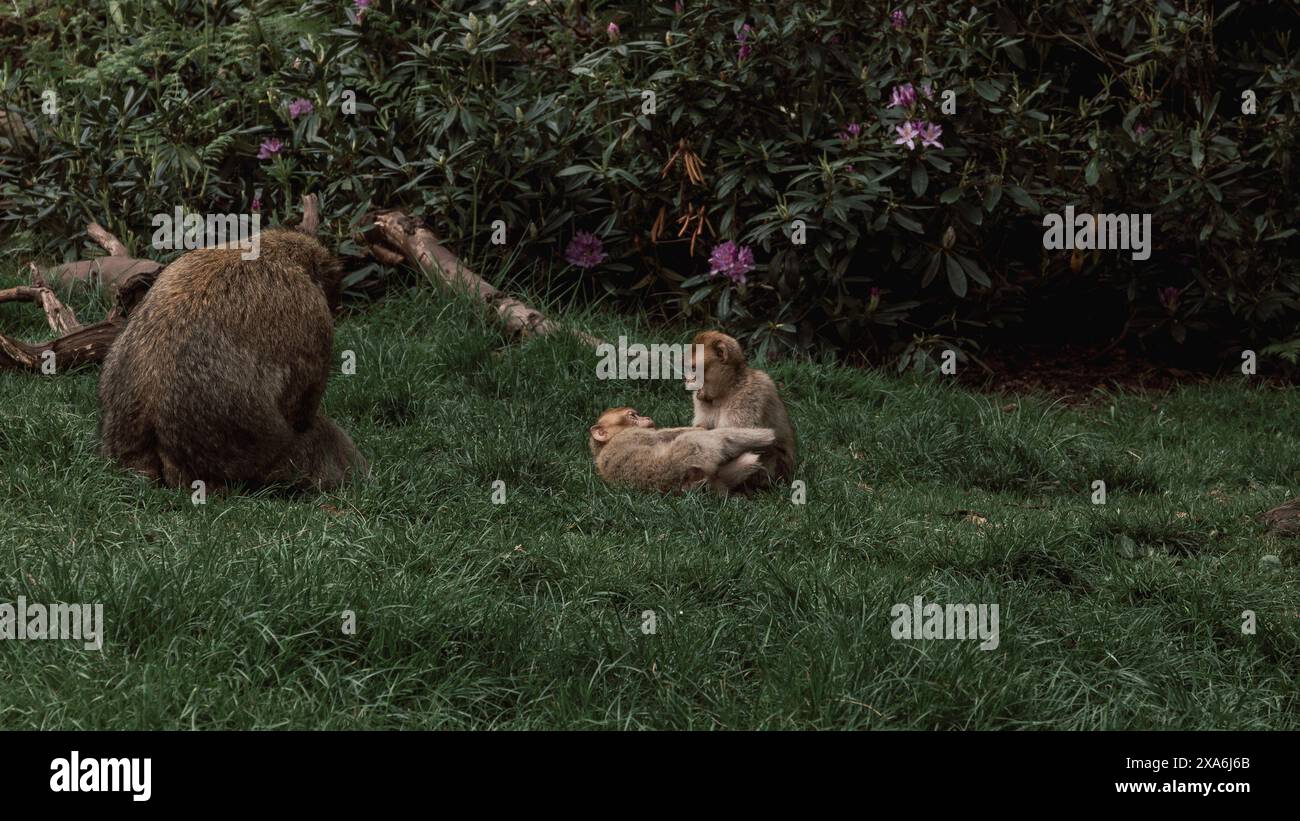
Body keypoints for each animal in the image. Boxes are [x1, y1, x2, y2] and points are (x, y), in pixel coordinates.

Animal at [588, 407, 775, 495]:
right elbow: (662, 435)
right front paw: (700, 428)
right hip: (690, 454)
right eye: (632, 416)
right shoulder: (633, 434)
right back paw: (766, 436)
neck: (606, 444)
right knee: (713, 439)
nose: (646, 418)